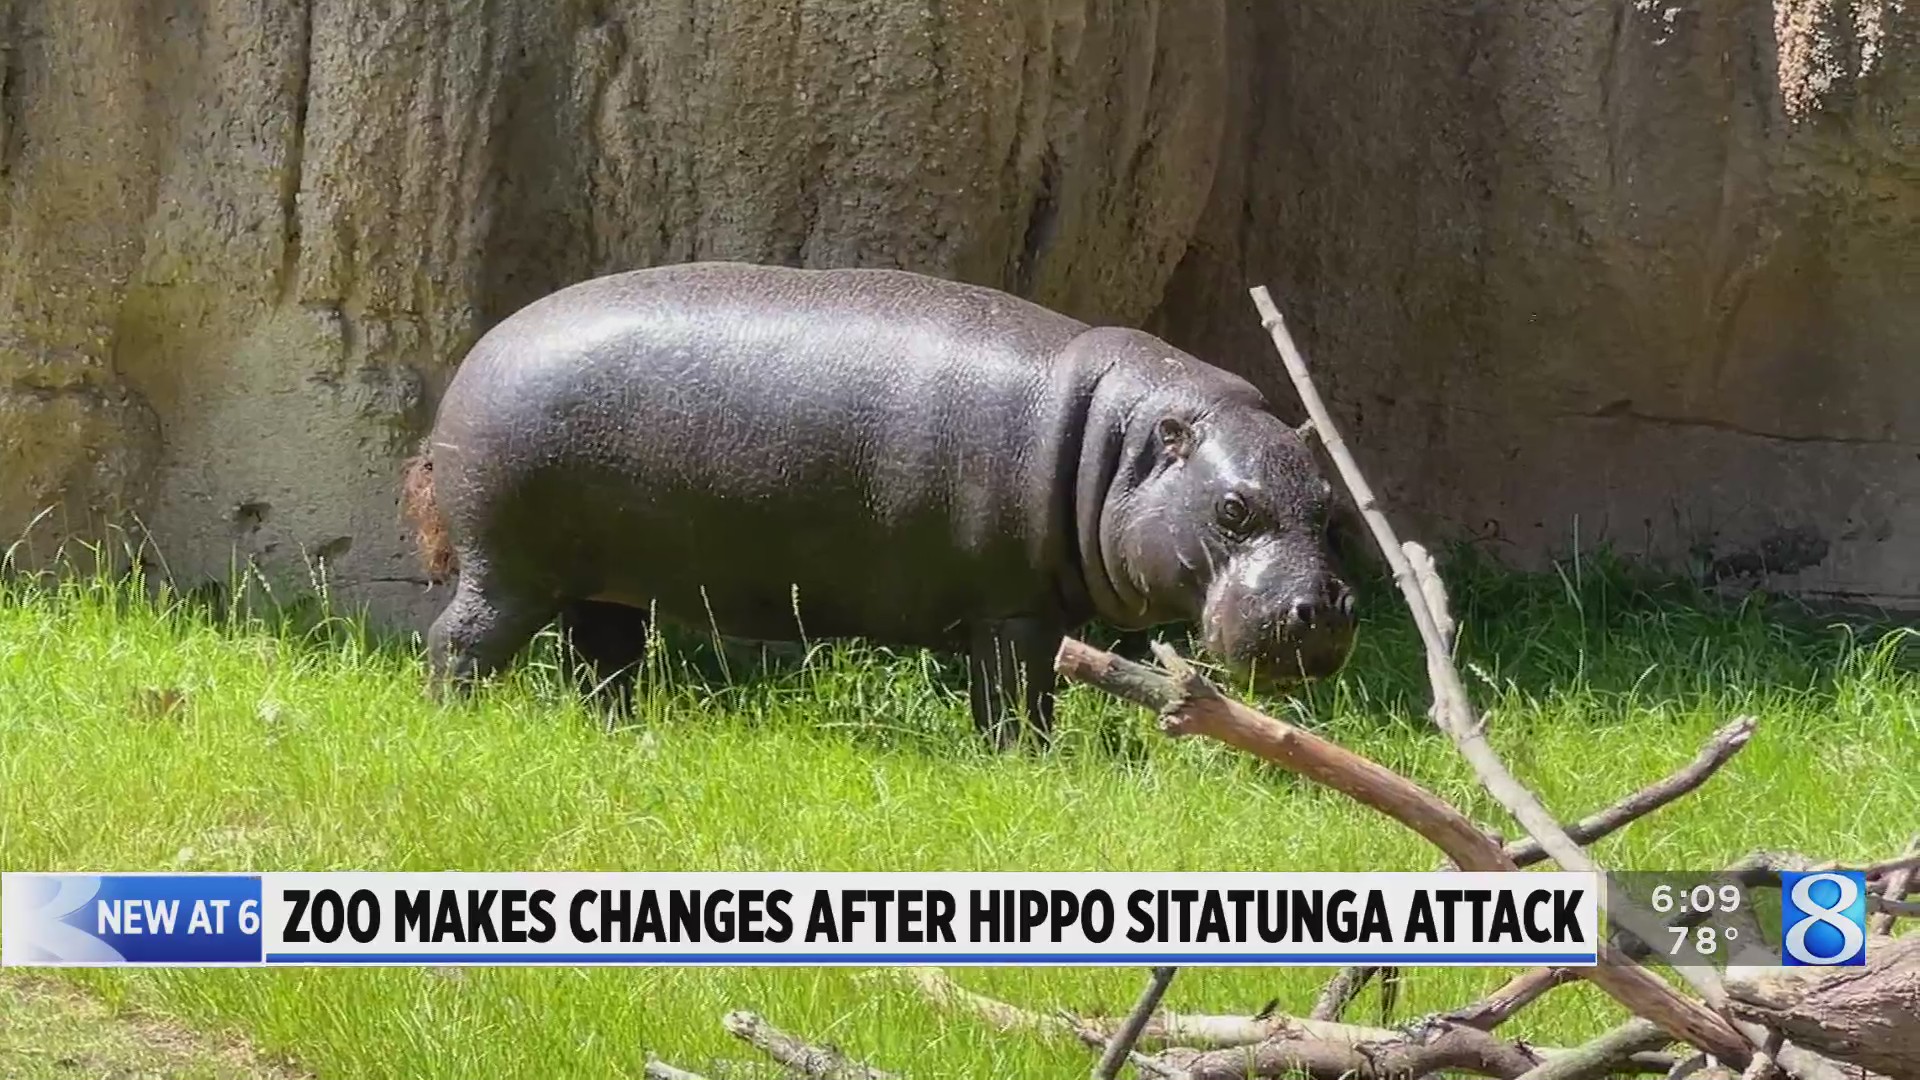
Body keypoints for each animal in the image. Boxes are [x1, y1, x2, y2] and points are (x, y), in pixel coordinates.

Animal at [401, 261, 1356, 748]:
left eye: (1329, 506)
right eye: (1232, 511)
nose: (1325, 609)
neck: (1121, 447)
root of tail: (474, 361)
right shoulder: (1013, 612)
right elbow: (1017, 700)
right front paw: (1029, 766)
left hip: (604, 581)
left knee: (603, 663)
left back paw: (626, 739)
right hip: (510, 569)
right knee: (458, 644)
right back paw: (456, 729)